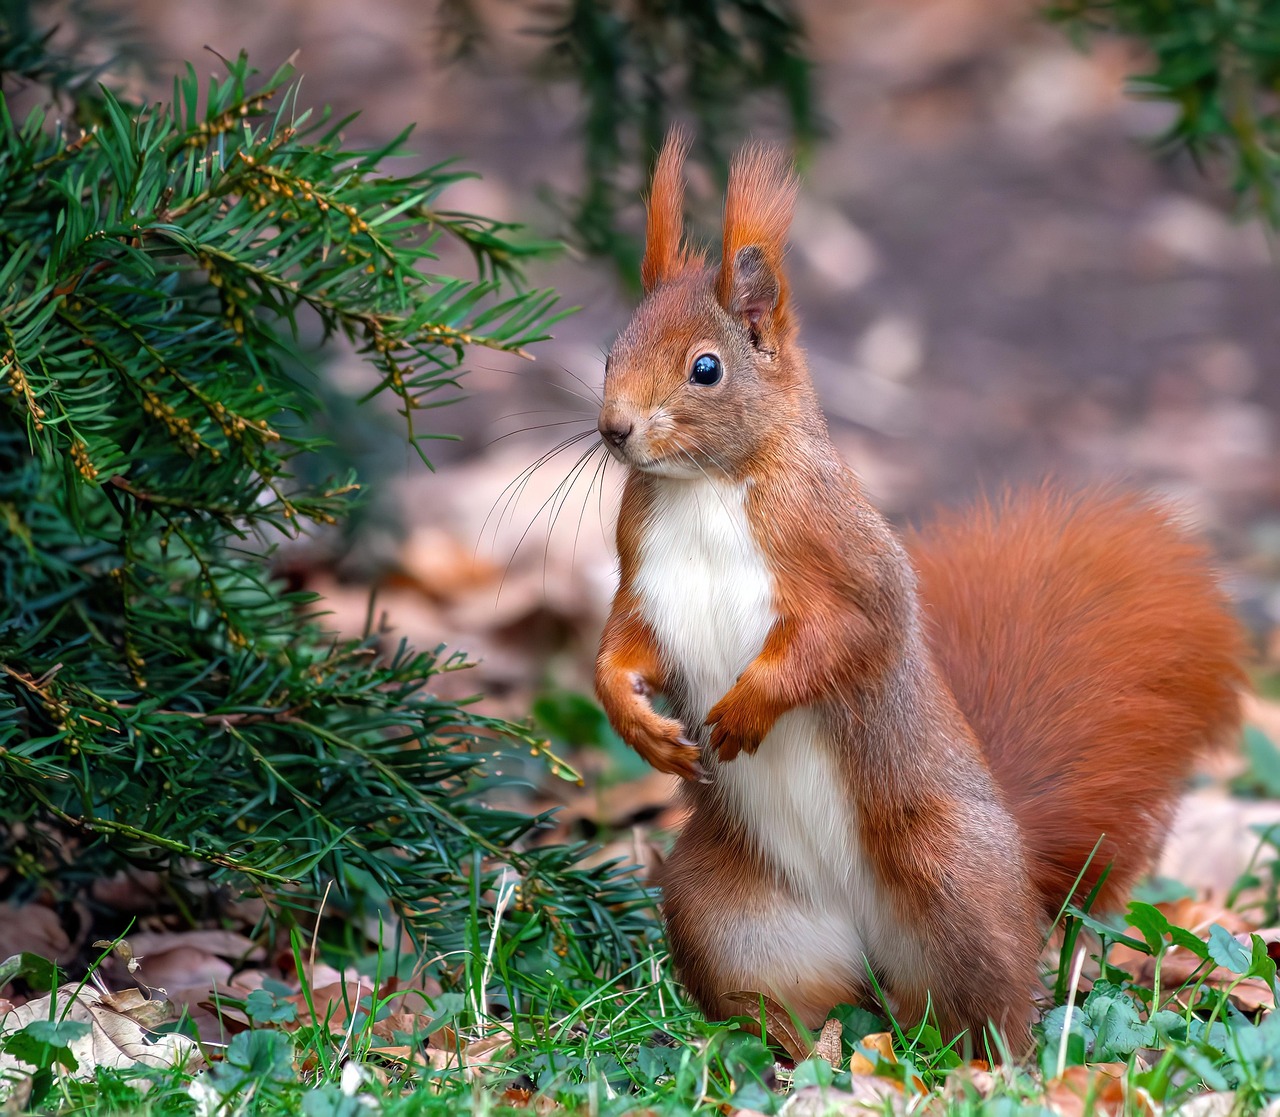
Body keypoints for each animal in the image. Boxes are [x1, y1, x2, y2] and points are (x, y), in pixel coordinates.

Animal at [592, 130, 1248, 1048]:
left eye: (706, 368)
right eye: (609, 348)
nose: (614, 428)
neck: (706, 489)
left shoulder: (849, 560)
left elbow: (851, 634)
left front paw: (749, 707)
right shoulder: (641, 575)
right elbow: (620, 648)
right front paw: (641, 723)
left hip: (950, 874)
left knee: (993, 1004)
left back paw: (984, 1055)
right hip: (726, 906)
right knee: (799, 1001)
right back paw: (791, 1048)